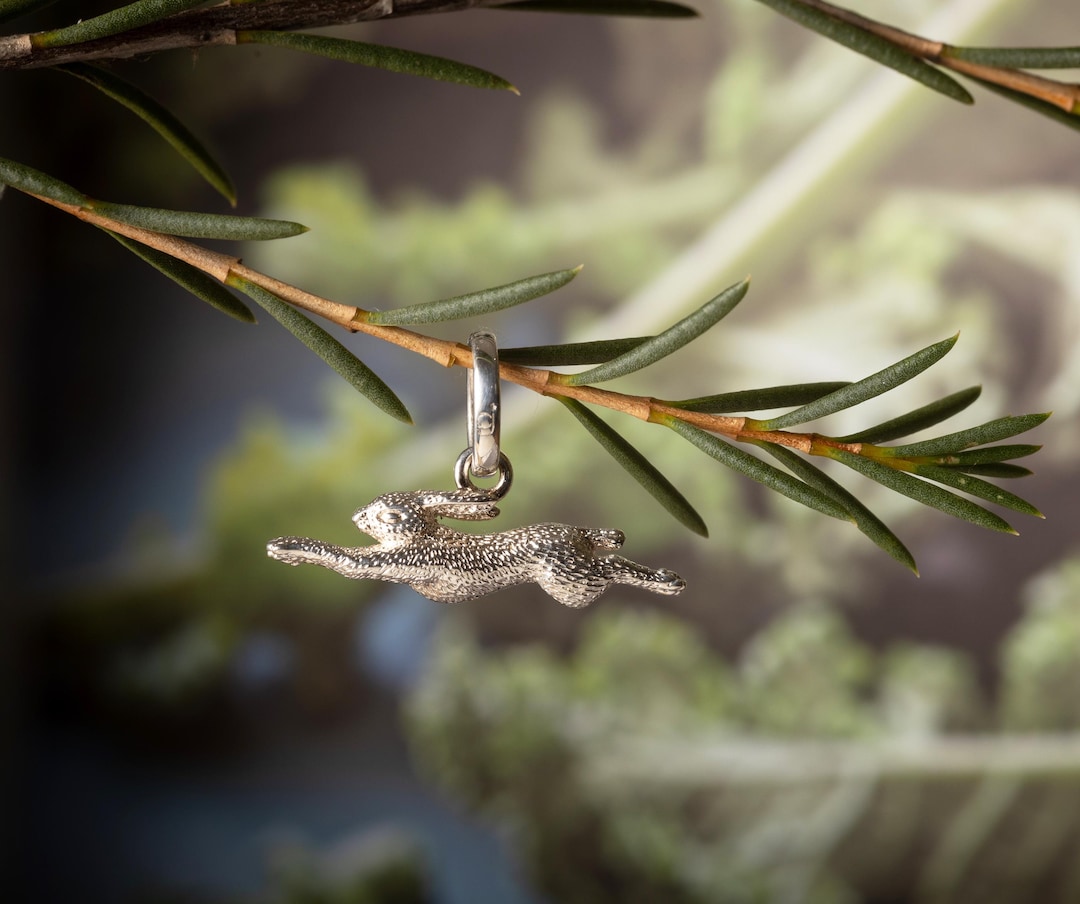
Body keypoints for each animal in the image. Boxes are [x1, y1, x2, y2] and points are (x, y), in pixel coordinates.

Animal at [267, 487, 685, 607]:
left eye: (390, 516)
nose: (357, 517)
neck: (428, 535)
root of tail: (576, 537)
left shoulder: (399, 558)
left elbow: (344, 558)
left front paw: (285, 547)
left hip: (571, 582)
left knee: (613, 566)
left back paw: (669, 582)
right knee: (612, 546)